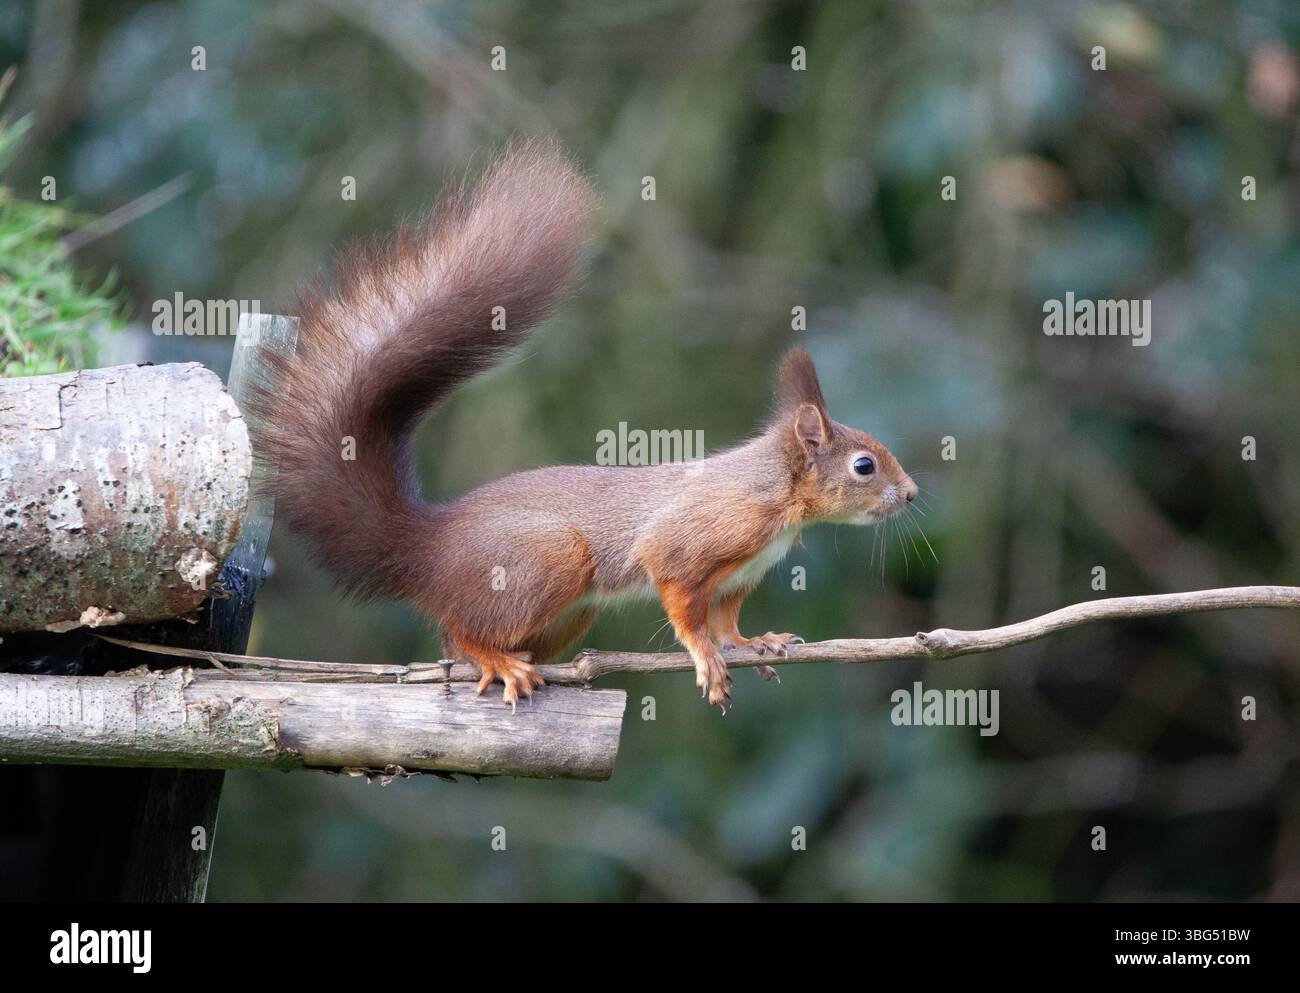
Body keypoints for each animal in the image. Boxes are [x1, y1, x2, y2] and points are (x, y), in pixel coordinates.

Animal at [251, 140, 917, 712]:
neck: (781, 495)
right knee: (457, 630)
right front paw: (704, 657)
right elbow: (682, 601)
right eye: (864, 465)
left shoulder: (736, 579)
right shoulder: (701, 536)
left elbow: (726, 620)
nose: (912, 494)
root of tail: (425, 545)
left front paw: (754, 643)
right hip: (548, 559)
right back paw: (495, 659)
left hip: (570, 610)